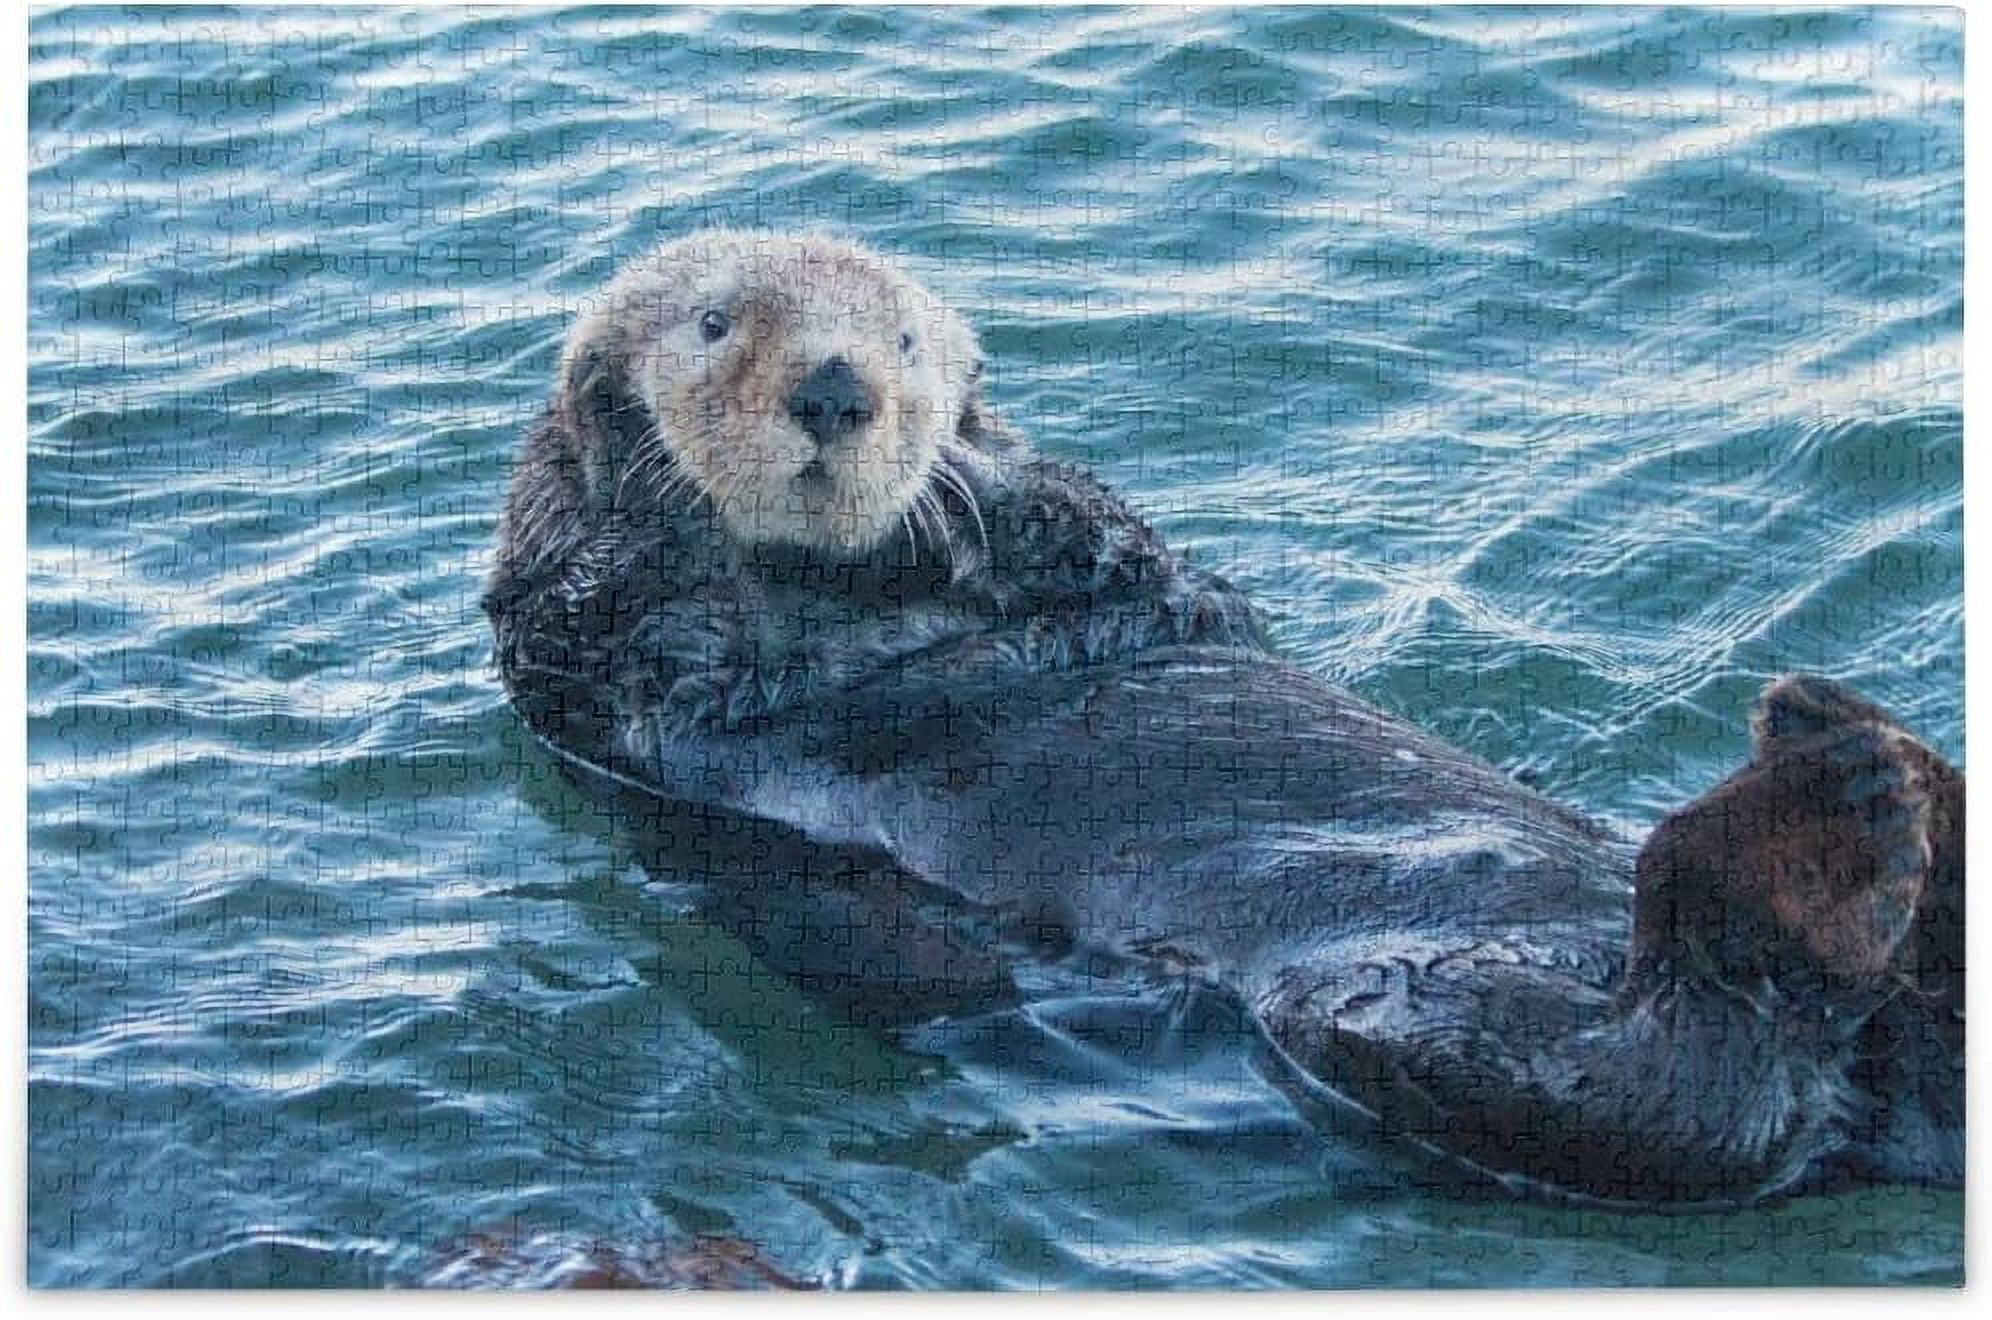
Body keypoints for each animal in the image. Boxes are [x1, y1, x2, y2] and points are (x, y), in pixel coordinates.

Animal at [486, 230, 1963, 1206]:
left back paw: (1889, 790)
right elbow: (661, 617)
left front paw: (974, 486)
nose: (839, 392)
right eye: (715, 325)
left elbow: (1115, 544)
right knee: (1680, 1101)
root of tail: (1875, 1115)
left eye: (904, 342)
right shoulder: (608, 661)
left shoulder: (1137, 574)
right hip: (1400, 1024)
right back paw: (1835, 824)